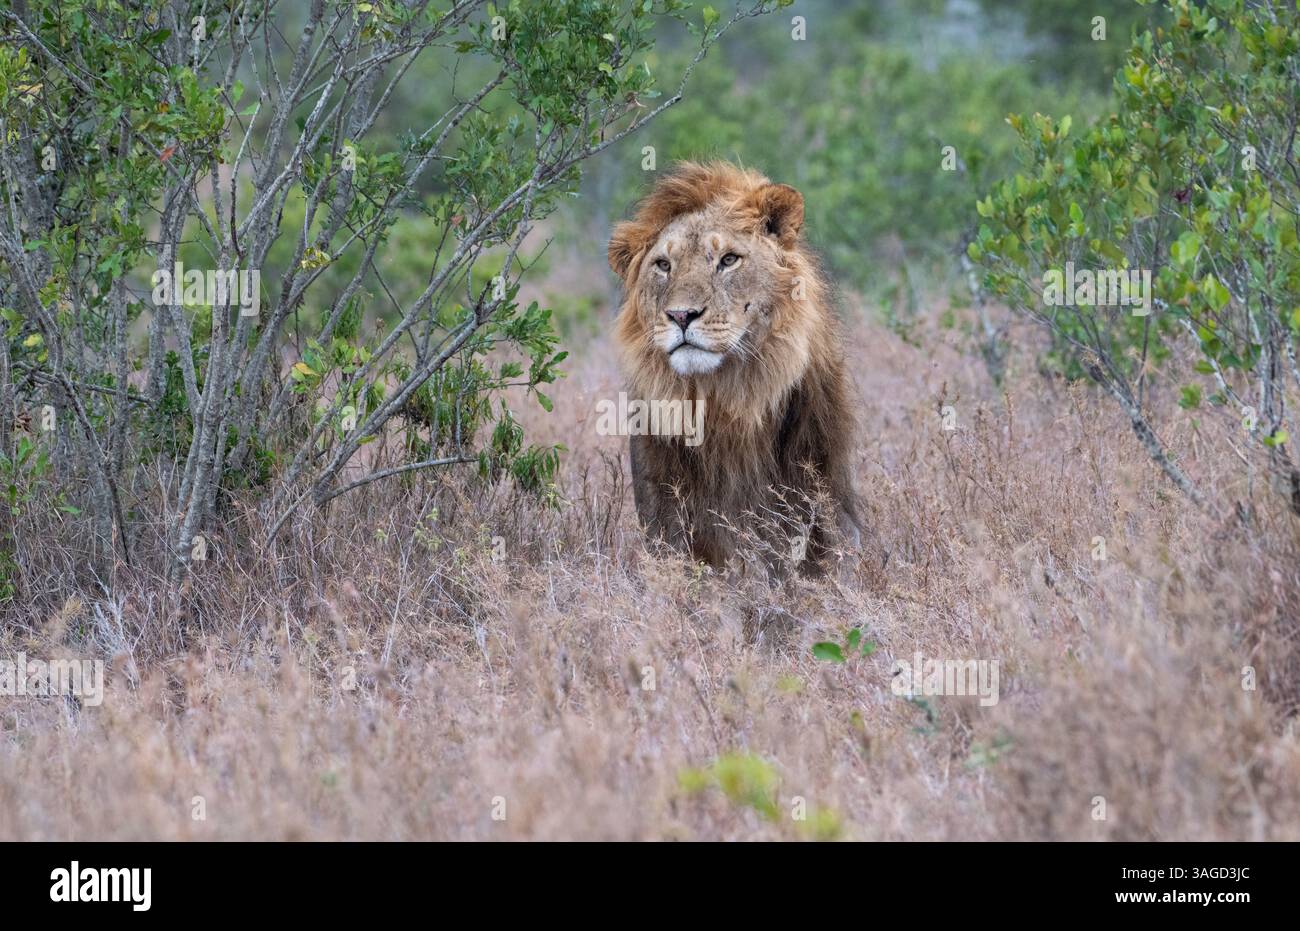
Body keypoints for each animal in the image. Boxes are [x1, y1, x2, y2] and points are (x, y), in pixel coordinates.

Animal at [608, 161, 862, 572]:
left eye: (728, 260)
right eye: (663, 265)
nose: (681, 315)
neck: (724, 398)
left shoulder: (816, 491)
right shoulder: (666, 511)